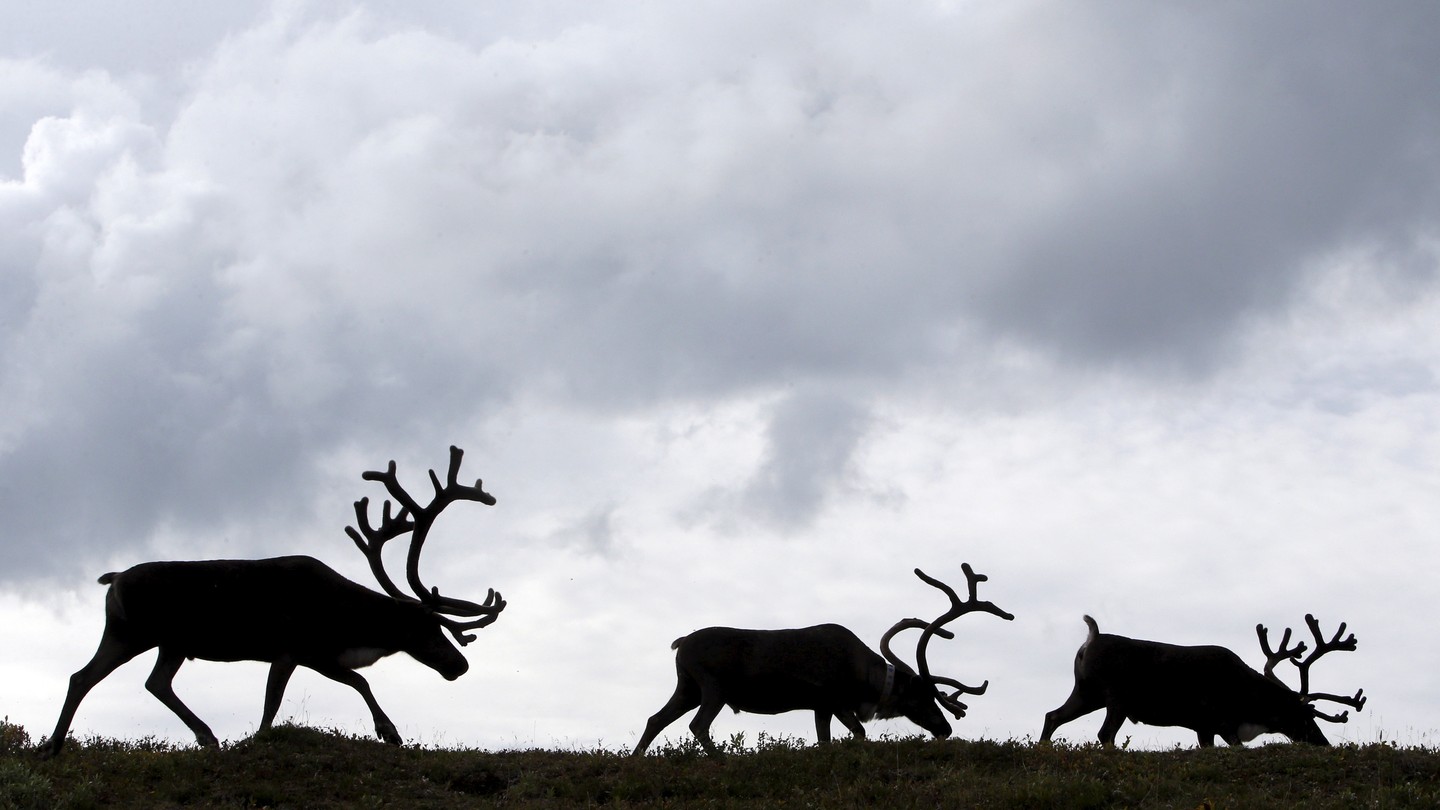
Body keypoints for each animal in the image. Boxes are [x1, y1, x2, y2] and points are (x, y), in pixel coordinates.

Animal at [43, 446, 506, 757]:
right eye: (428, 625)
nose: (460, 664)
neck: (350, 623)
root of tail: (113, 579)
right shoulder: (292, 649)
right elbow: (280, 703)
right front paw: (386, 731)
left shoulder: (315, 654)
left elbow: (354, 682)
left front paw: (389, 731)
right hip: (144, 634)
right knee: (113, 679)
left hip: (150, 639)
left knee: (109, 679)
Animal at [631, 565, 1015, 756]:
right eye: (922, 695)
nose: (945, 728)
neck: (866, 679)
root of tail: (680, 644)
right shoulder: (831, 699)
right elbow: (852, 734)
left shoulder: (825, 706)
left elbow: (833, 739)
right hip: (714, 687)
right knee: (698, 725)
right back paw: (722, 760)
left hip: (687, 687)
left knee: (655, 718)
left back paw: (636, 760)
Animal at [1039, 613, 1366, 747]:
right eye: (1306, 714)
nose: (1323, 743)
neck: (1252, 704)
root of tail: (1090, 638)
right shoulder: (1223, 722)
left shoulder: (1203, 727)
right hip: (1116, 698)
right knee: (1104, 733)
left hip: (1087, 694)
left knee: (1052, 715)